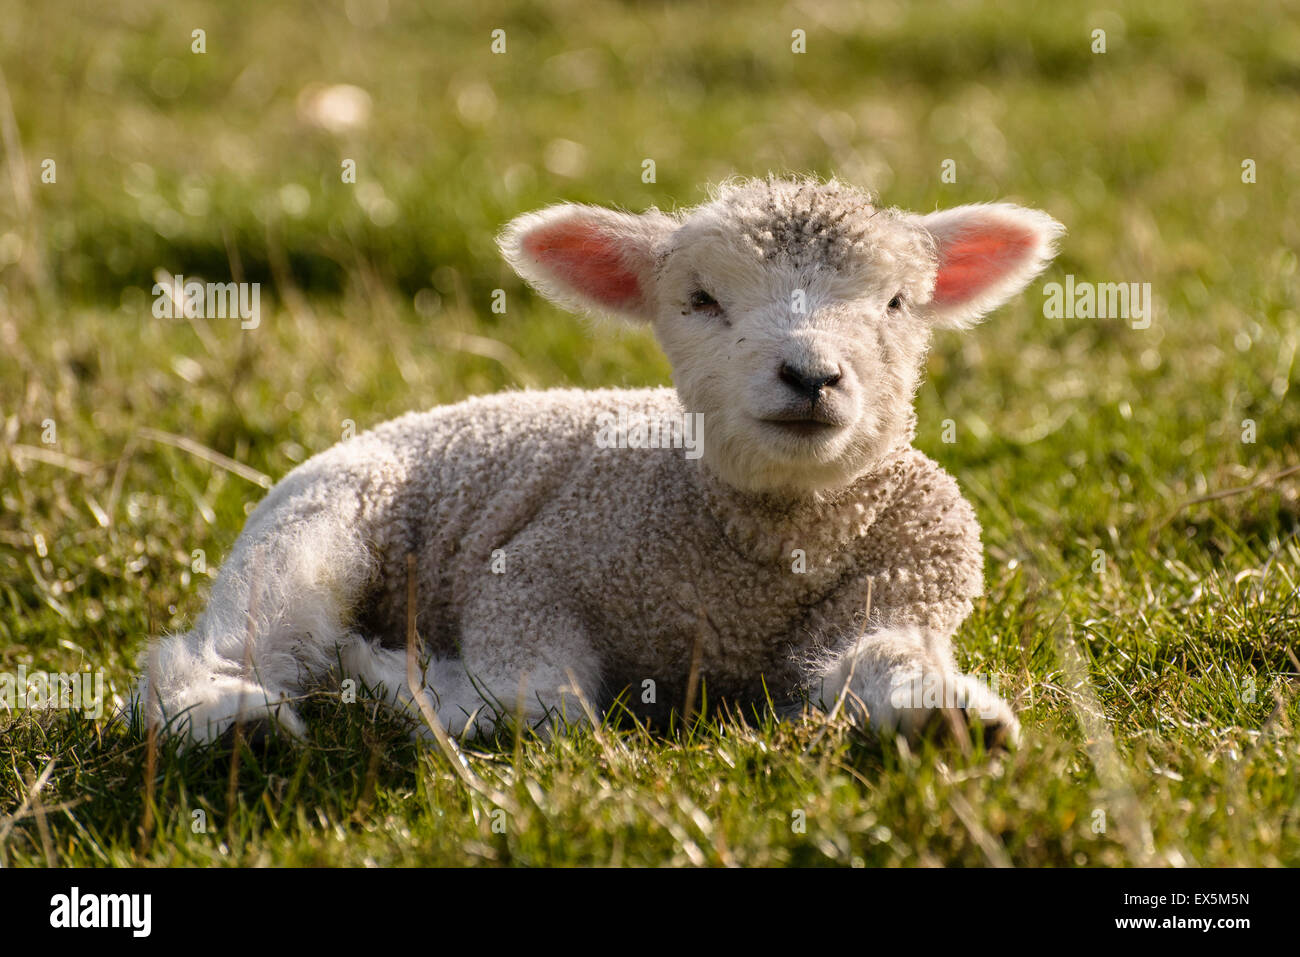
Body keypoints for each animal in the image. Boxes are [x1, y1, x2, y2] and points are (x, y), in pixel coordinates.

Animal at [133, 175, 1063, 748]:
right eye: (701, 300)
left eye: (898, 302)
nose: (811, 375)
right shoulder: (529, 572)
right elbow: (542, 701)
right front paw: (437, 691)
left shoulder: (904, 584)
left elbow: (882, 656)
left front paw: (948, 716)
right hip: (312, 531)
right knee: (231, 644)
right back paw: (237, 721)